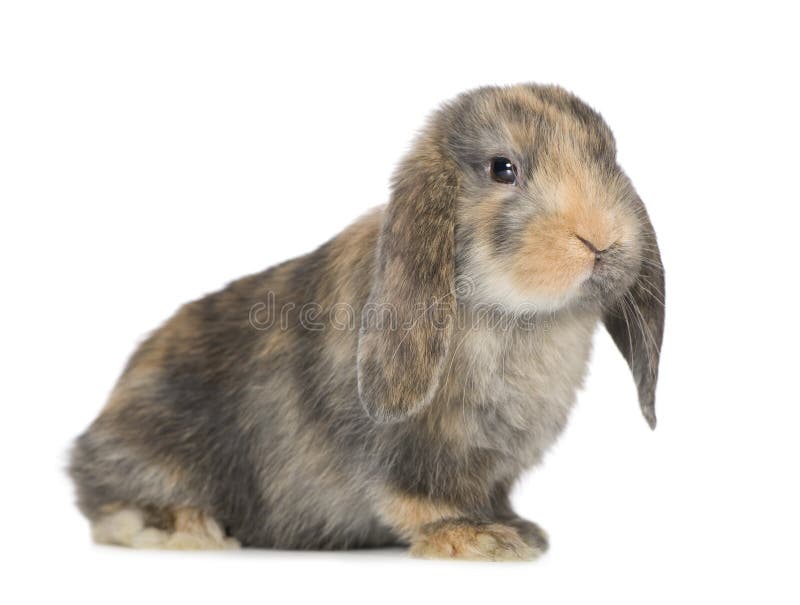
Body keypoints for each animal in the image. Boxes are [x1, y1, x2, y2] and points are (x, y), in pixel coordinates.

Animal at [69, 83, 664, 560]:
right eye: (503, 168)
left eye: (610, 158)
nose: (601, 238)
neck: (516, 317)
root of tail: (90, 440)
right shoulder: (406, 453)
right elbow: (417, 498)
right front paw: (480, 539)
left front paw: (518, 529)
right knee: (114, 511)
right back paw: (187, 530)